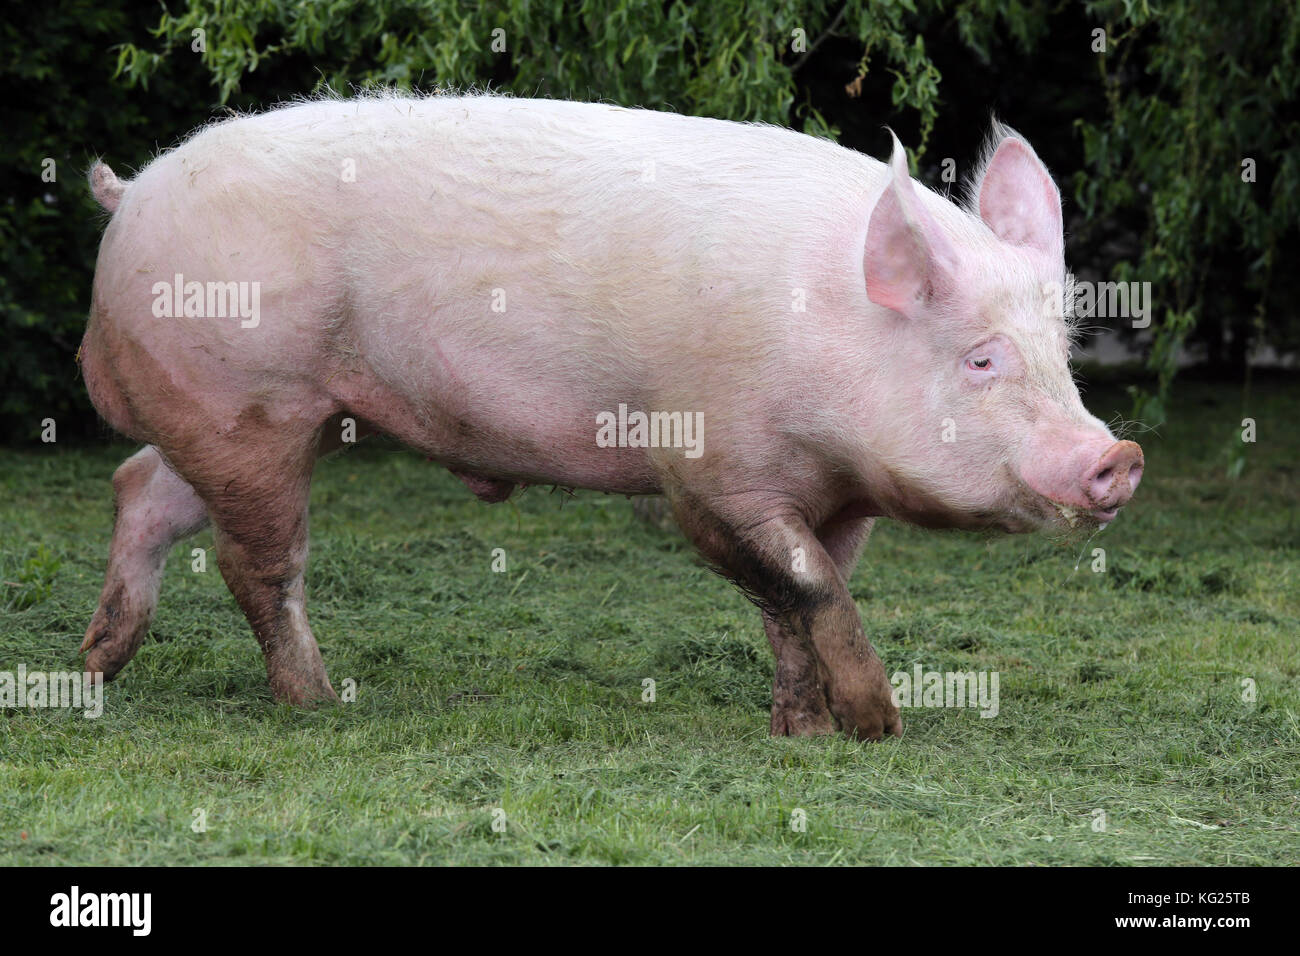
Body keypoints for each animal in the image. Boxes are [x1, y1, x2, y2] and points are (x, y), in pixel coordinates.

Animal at [78, 94, 1142, 739]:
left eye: (1065, 351)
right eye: (980, 358)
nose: (1118, 455)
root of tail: (129, 194)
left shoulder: (841, 496)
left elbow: (803, 598)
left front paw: (800, 731)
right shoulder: (709, 465)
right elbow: (802, 588)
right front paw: (878, 723)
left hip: (222, 418)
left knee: (141, 490)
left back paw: (95, 668)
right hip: (248, 406)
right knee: (257, 563)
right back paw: (320, 704)